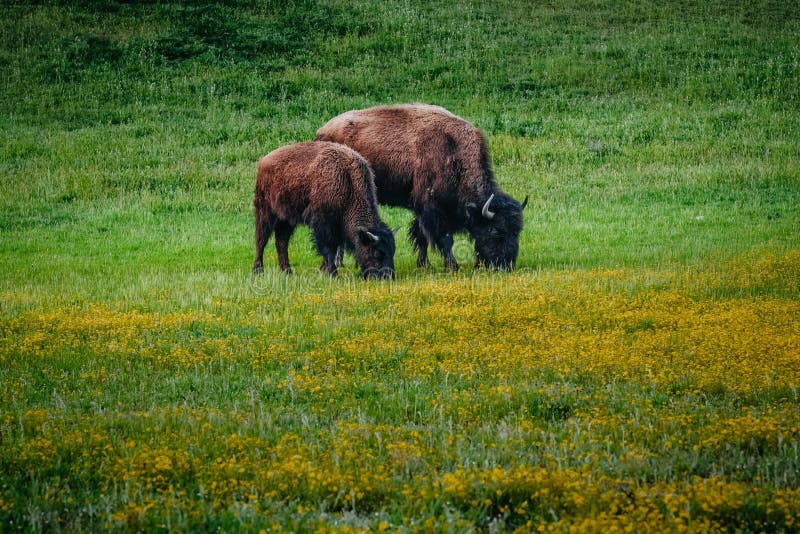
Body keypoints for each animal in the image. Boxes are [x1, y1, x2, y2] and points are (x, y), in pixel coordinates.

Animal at [253, 141, 396, 279]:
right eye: (377, 252)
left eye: (392, 251)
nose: (388, 276)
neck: (348, 182)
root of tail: (264, 161)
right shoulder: (323, 223)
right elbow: (328, 249)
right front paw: (333, 274)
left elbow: (333, 247)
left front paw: (323, 271)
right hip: (265, 213)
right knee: (261, 240)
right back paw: (258, 271)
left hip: (286, 219)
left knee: (281, 242)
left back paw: (288, 272)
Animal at [316, 104, 527, 270]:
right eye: (496, 230)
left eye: (517, 231)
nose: (507, 265)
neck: (453, 151)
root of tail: (322, 131)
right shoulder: (431, 208)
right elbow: (444, 238)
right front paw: (452, 266)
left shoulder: (422, 210)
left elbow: (421, 236)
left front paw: (424, 264)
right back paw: (339, 263)